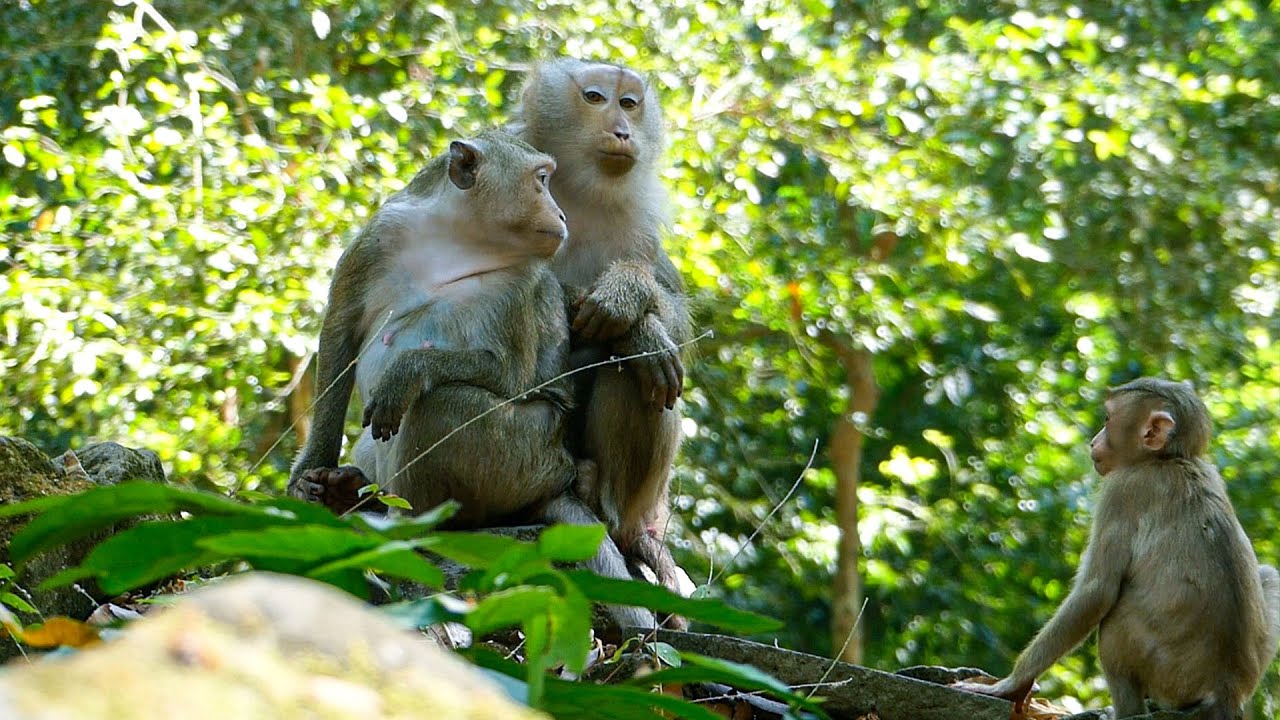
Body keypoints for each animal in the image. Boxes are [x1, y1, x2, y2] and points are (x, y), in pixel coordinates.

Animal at [287, 130, 656, 630]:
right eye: (542, 180)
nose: (561, 214)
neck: (460, 237)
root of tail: (556, 479)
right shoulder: (381, 236)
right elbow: (340, 336)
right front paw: (308, 475)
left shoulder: (522, 280)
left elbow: (511, 375)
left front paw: (409, 371)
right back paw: (355, 496)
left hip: (523, 459)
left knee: (439, 409)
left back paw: (406, 525)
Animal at [508, 58, 692, 611]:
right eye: (595, 98)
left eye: (629, 103)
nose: (623, 130)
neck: (581, 193)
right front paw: (637, 330)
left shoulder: (641, 225)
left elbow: (673, 313)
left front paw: (630, 299)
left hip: (646, 501)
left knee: (639, 375)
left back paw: (605, 507)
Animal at [954, 377, 1280, 719]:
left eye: (1107, 419)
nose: (1093, 442)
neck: (1168, 459)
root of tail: (1224, 692)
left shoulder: (1120, 490)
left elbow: (1096, 591)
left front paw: (1012, 684)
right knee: (1269, 574)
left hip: (1171, 677)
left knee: (1113, 622)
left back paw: (1126, 711)